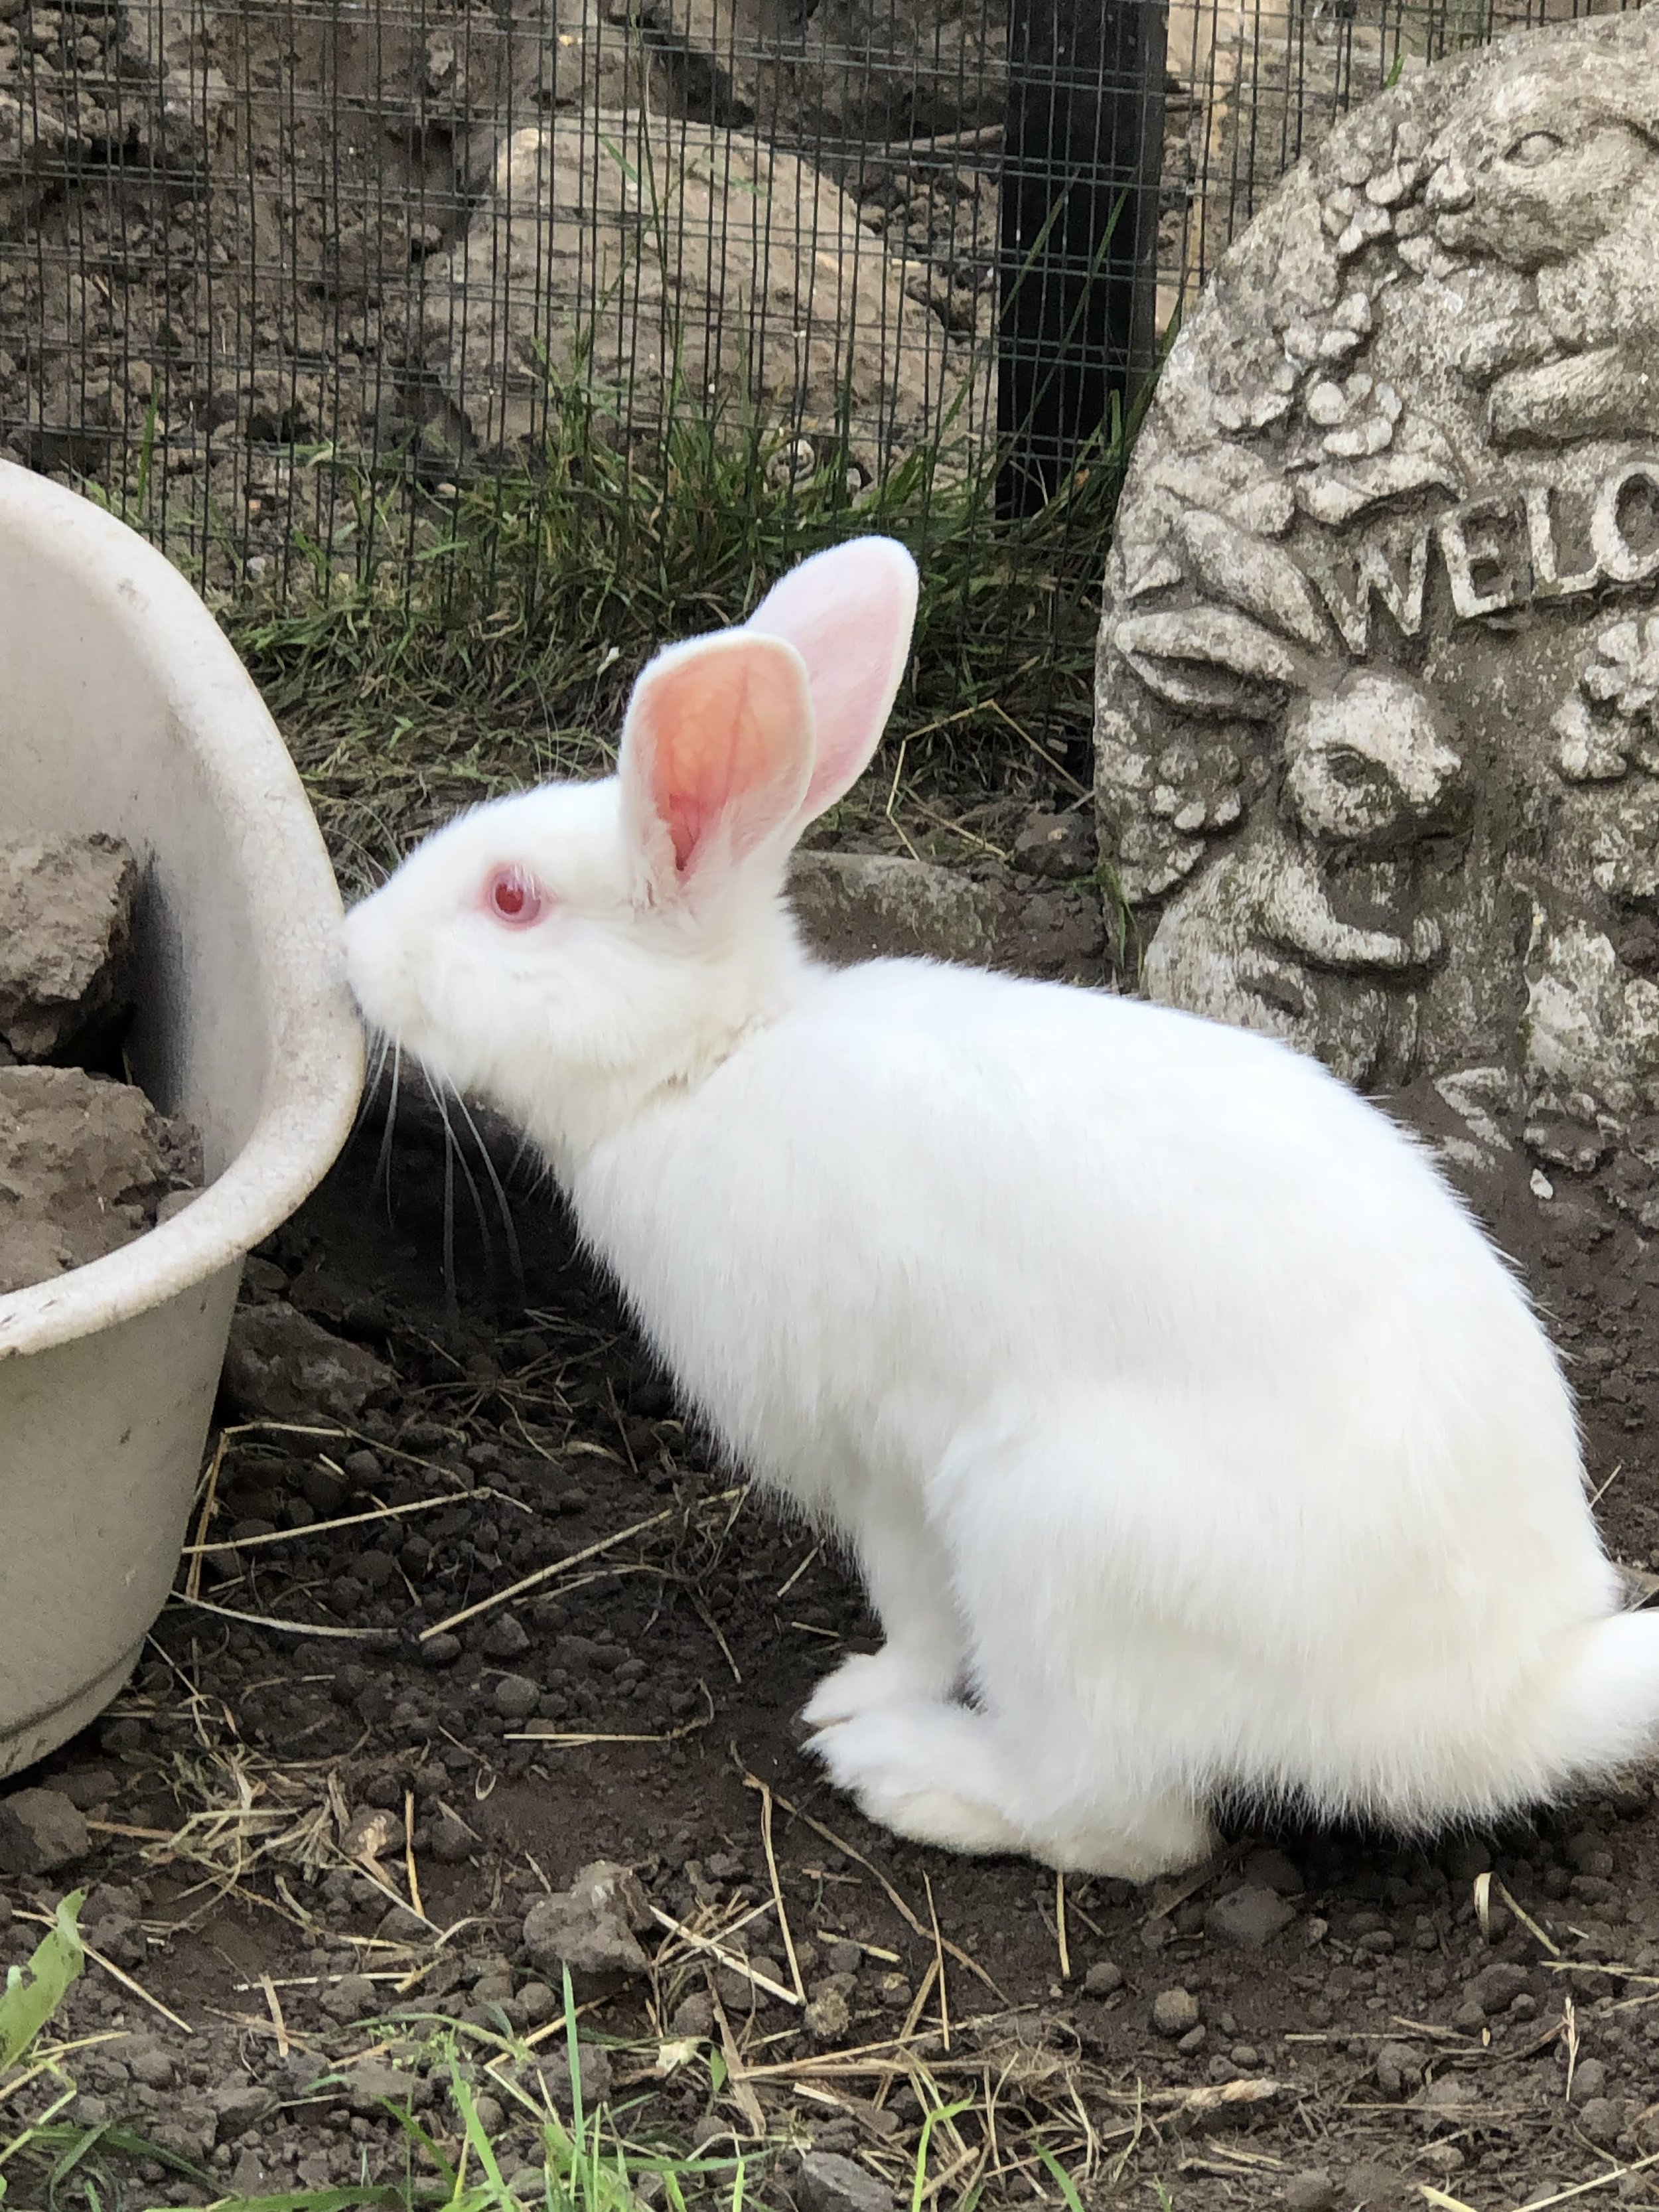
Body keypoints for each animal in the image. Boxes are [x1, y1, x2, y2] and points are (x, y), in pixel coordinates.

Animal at [343, 535, 1659, 1878]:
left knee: (1127, 1819)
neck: (709, 1065)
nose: (352, 948)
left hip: (1048, 1534)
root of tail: (1503, 1699)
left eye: (512, 899)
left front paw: (857, 1691)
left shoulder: (885, 1462)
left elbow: (918, 1615)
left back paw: (906, 1771)